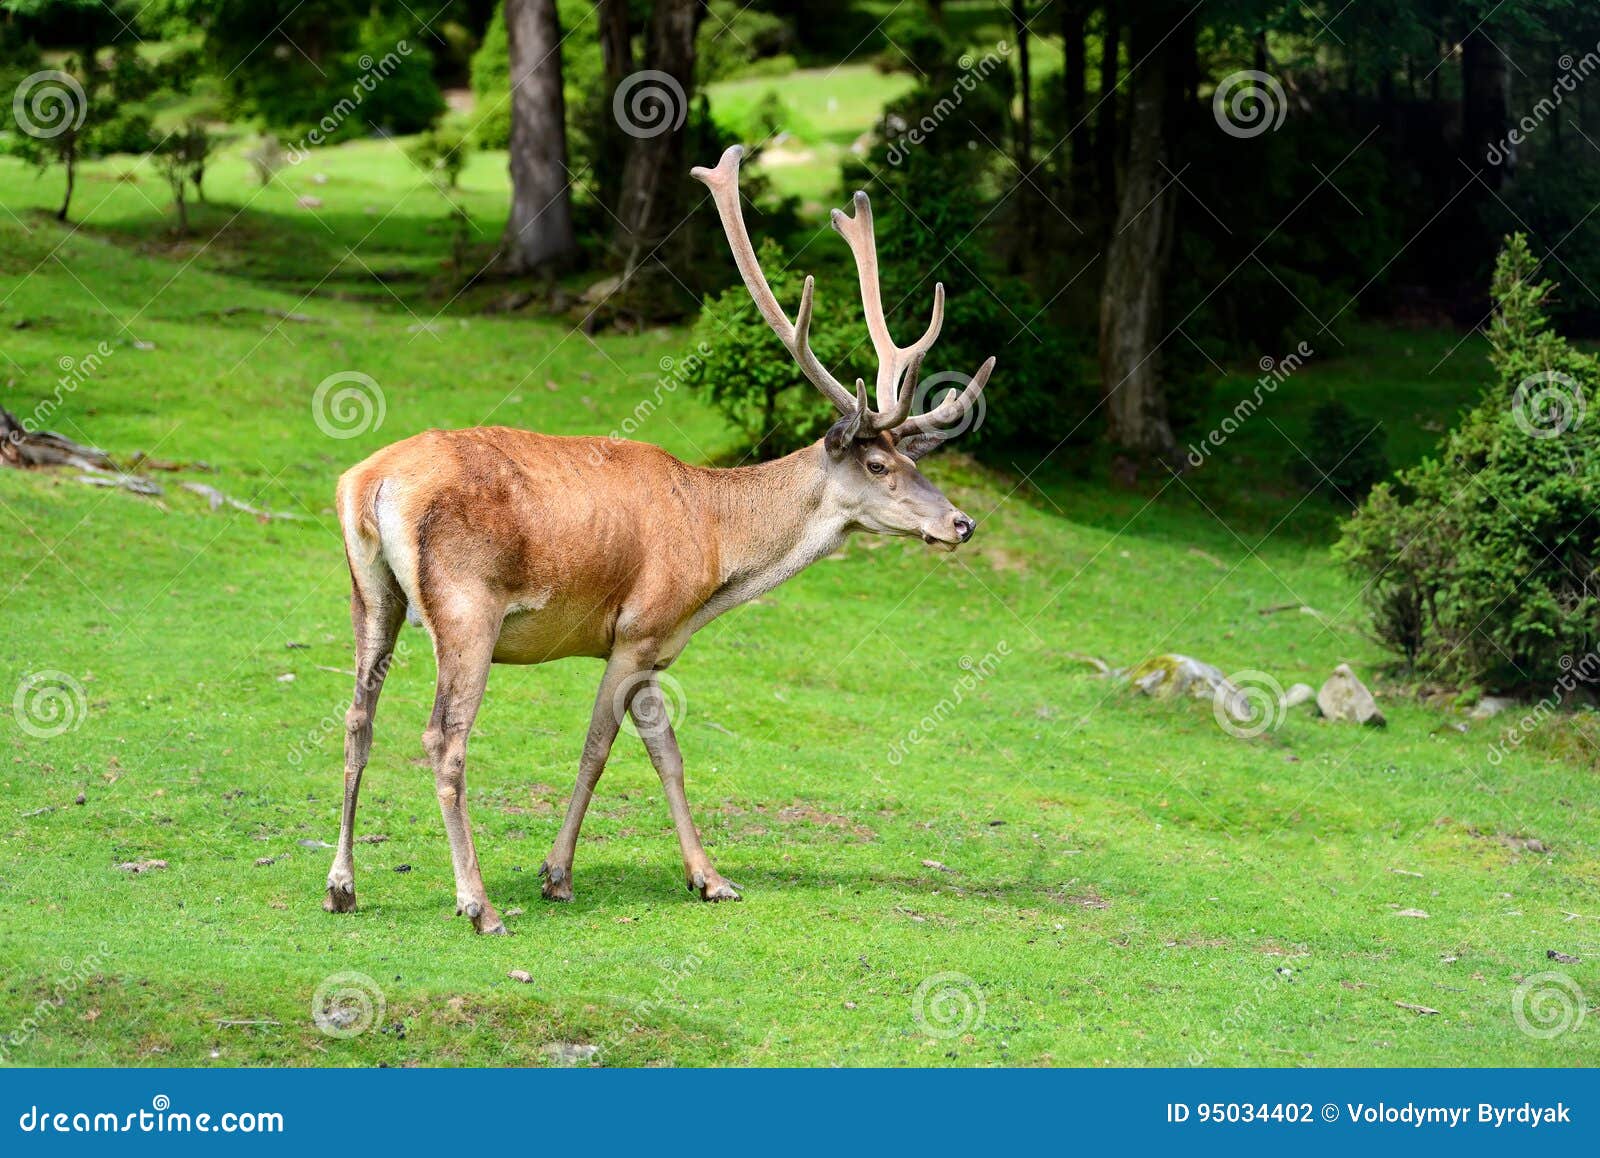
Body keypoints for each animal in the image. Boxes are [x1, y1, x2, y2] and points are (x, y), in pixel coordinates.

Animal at [323, 145, 996, 934]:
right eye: (880, 465)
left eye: (918, 461)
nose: (961, 523)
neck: (716, 558)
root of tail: (369, 483)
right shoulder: (640, 626)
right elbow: (598, 745)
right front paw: (556, 875)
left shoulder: (654, 646)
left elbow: (666, 751)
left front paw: (711, 878)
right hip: (466, 607)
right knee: (443, 738)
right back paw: (478, 903)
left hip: (372, 592)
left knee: (356, 717)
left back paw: (341, 886)